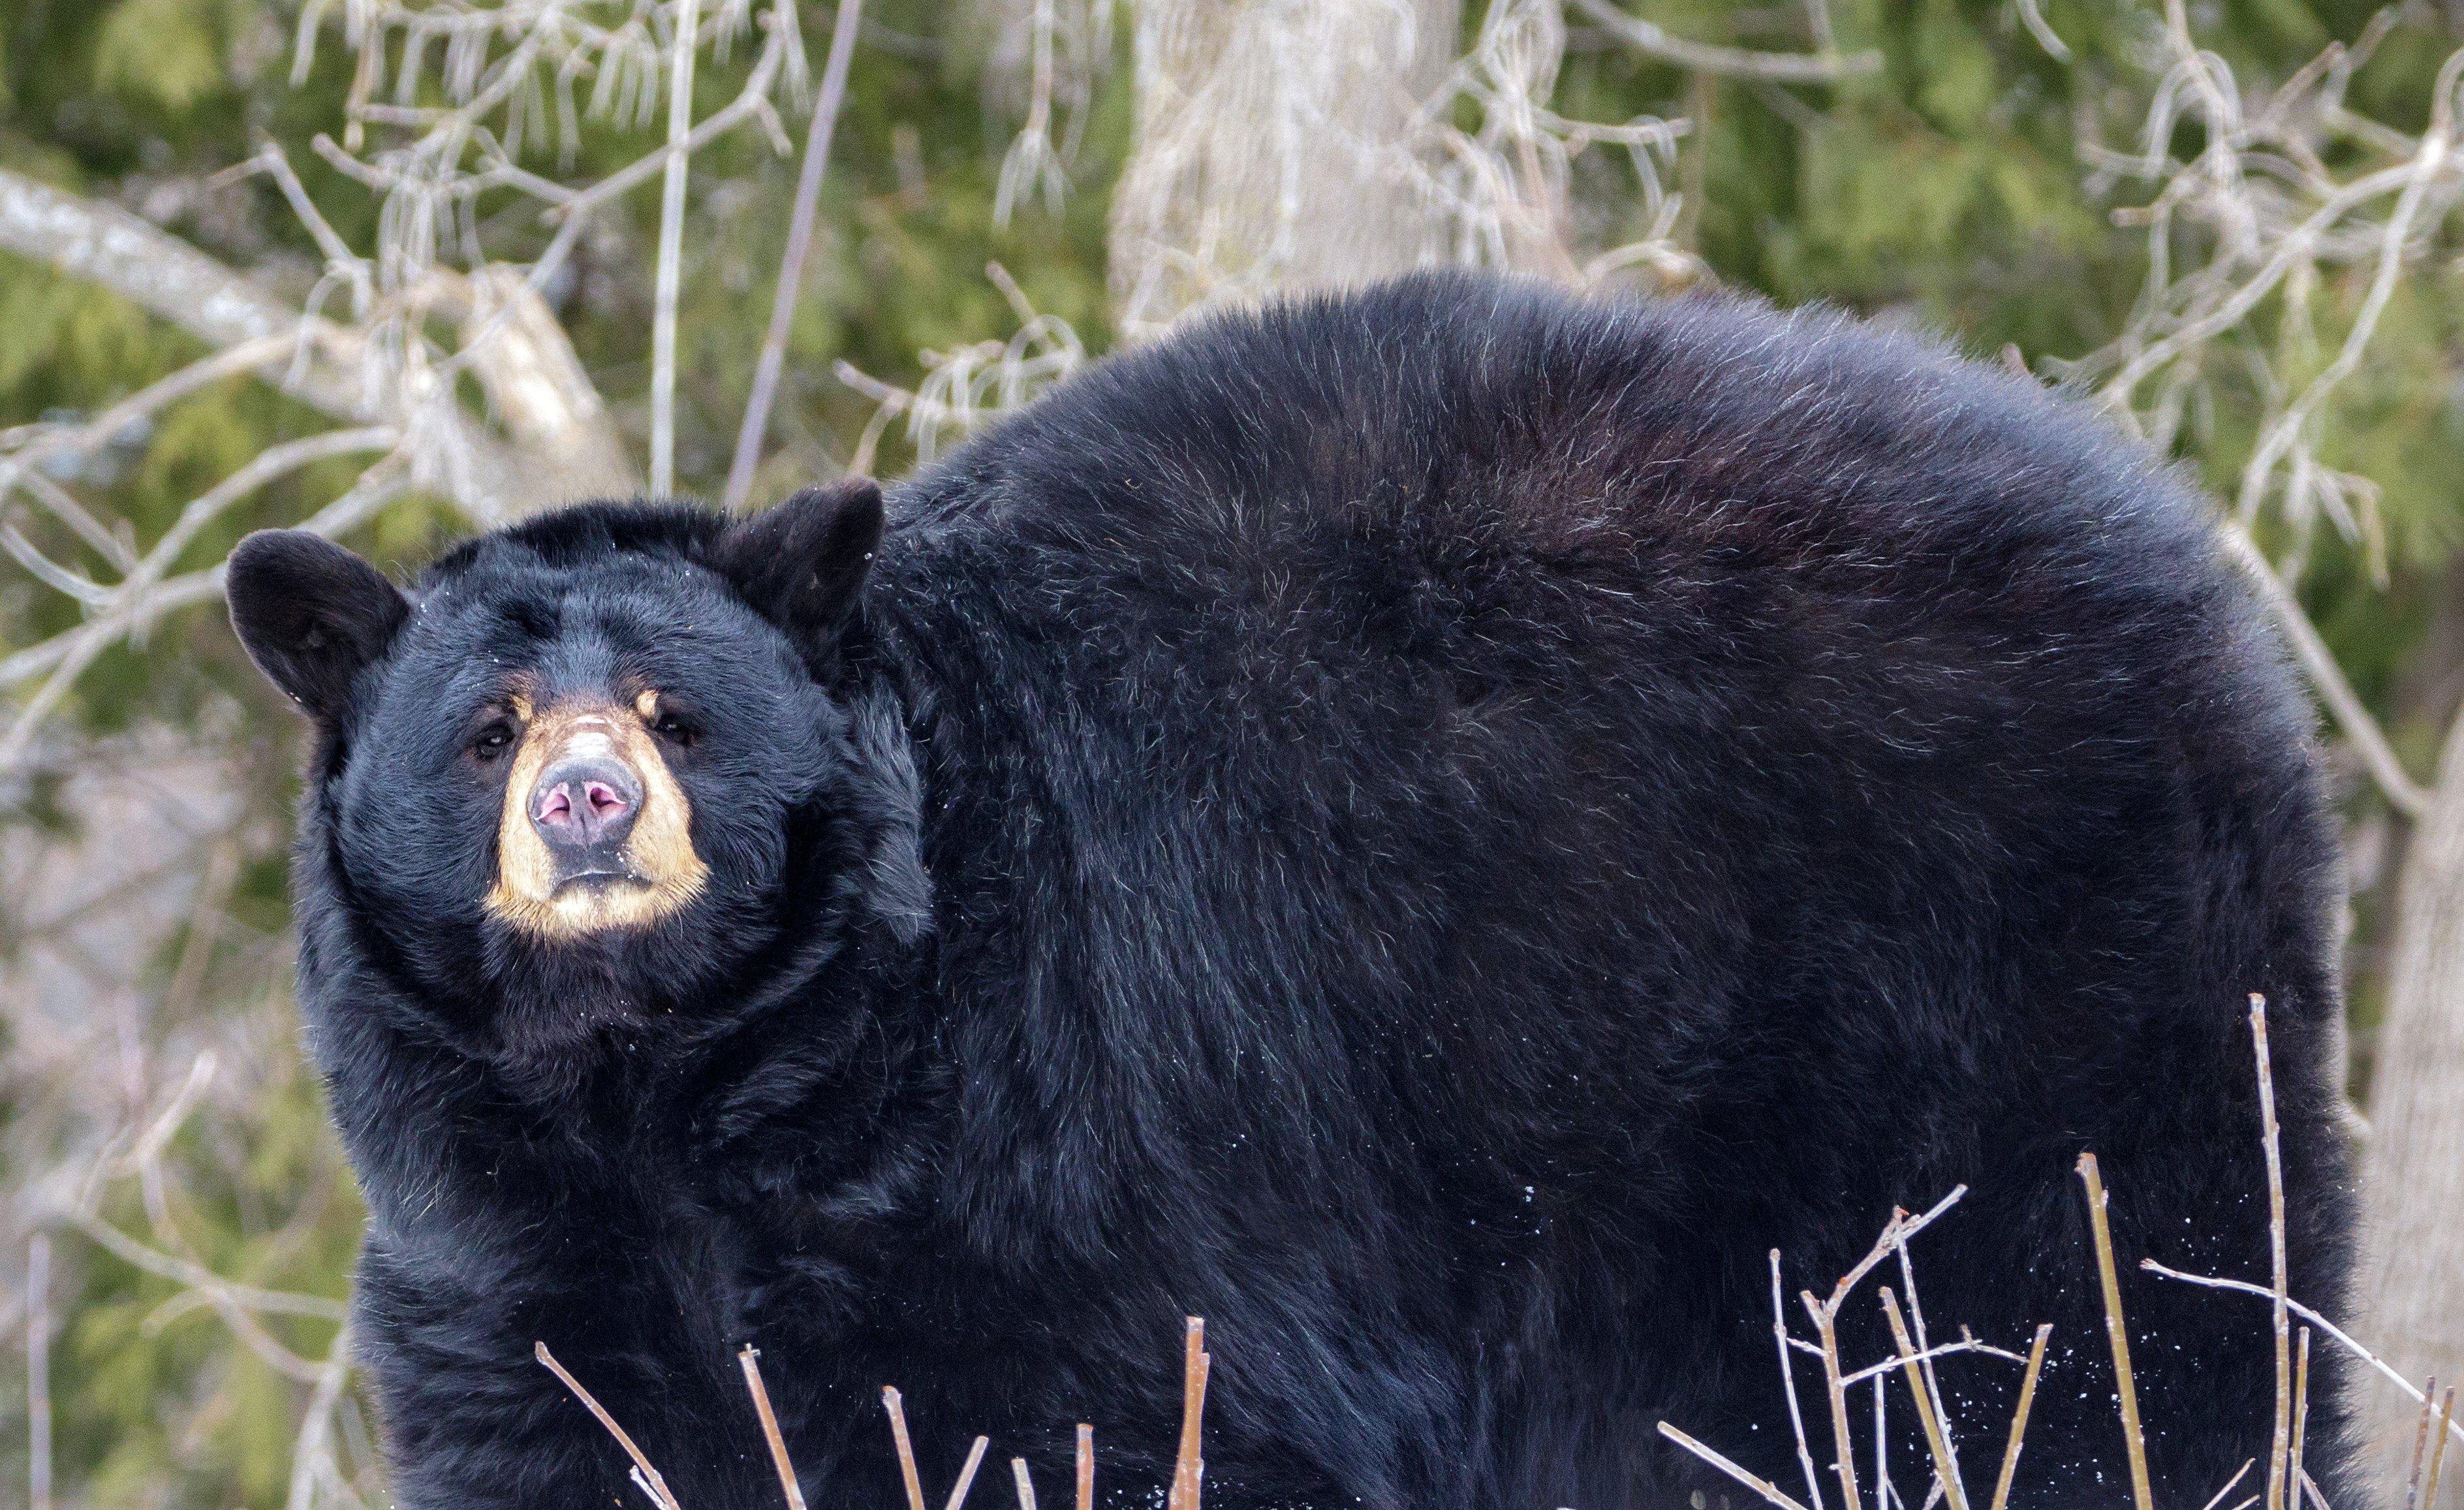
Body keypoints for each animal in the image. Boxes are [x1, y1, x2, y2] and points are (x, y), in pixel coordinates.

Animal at [226, 273, 2365, 1510]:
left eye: (679, 712)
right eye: (489, 725)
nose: (591, 804)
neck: (680, 1098)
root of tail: (2179, 550)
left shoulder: (1077, 1142)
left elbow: (1125, 1416)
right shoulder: (511, 1247)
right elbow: (564, 1432)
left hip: (2007, 968)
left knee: (2115, 1323)